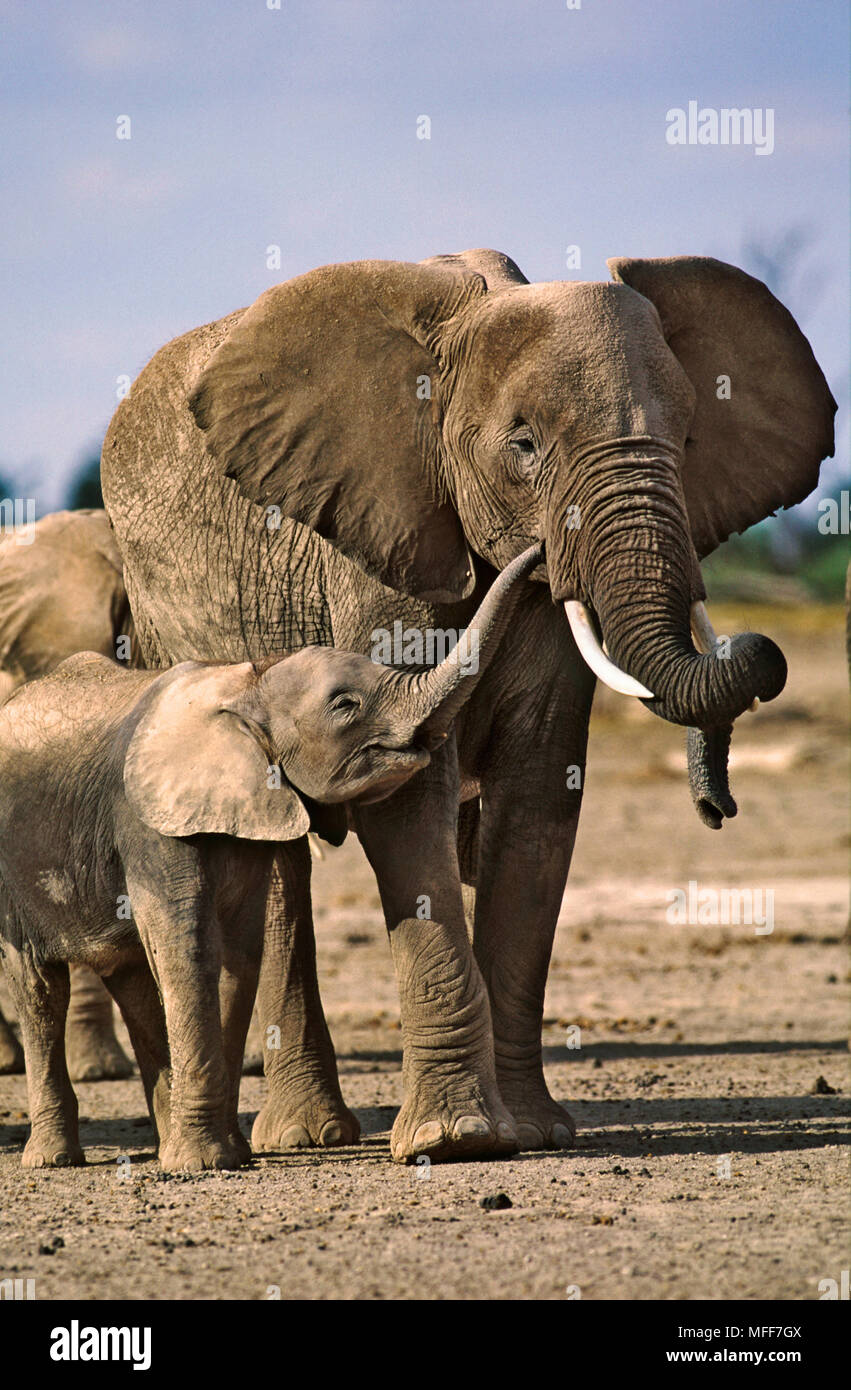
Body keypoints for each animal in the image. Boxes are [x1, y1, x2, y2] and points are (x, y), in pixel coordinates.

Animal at [0, 545, 539, 1170]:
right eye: (346, 705)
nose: (538, 555)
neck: (249, 684)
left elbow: (239, 952)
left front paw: (226, 1156)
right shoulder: (149, 822)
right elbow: (188, 949)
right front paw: (202, 1165)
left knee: (132, 981)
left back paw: (160, 1142)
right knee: (39, 990)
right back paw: (54, 1159)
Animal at [101, 248, 835, 1162]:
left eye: (690, 437)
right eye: (523, 443)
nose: (716, 808)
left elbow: (540, 792)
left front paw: (535, 1132)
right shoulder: (384, 536)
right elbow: (407, 788)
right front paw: (455, 1143)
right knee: (271, 854)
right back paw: (306, 1137)